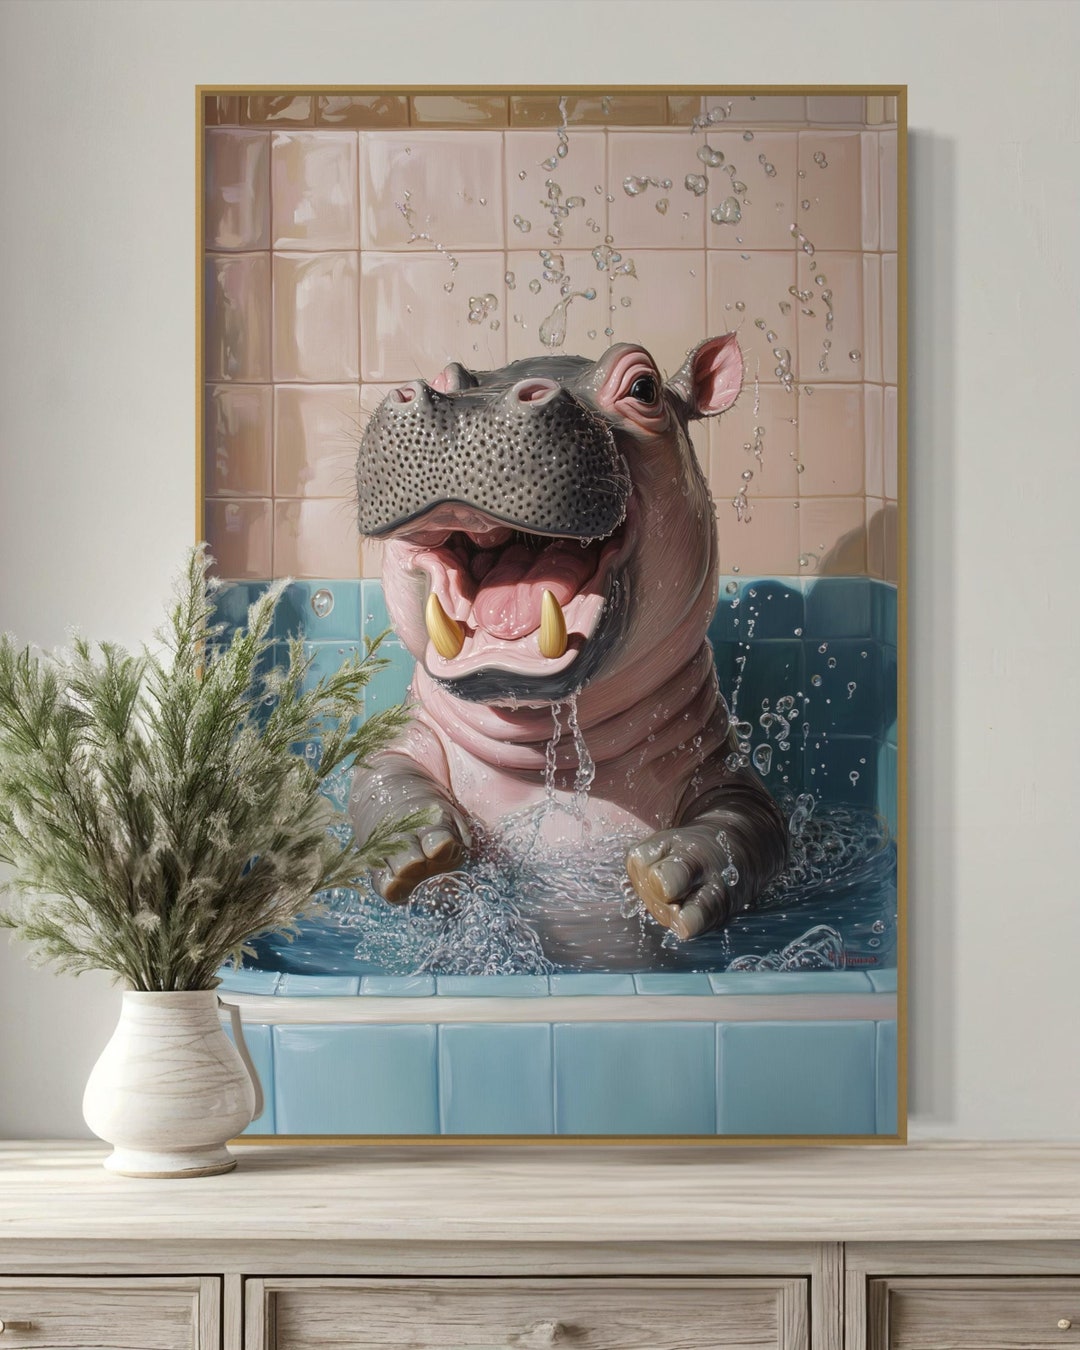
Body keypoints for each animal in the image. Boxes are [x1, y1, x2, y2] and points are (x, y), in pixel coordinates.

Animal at [349, 336, 788, 940]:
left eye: (644, 387)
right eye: (443, 376)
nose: (467, 408)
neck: (542, 756)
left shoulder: (721, 763)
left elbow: (748, 822)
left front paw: (671, 870)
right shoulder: (409, 736)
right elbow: (379, 774)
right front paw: (416, 844)